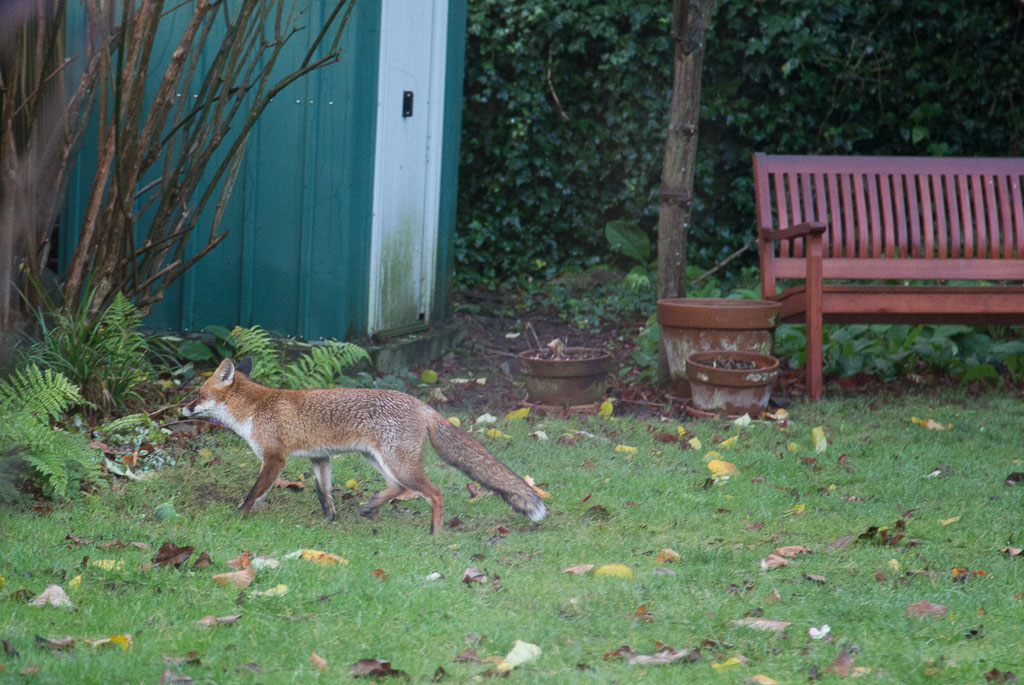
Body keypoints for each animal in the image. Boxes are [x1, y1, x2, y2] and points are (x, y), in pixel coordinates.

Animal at [181, 358, 548, 534]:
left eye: (198, 394)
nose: (182, 409)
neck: (255, 409)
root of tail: (422, 404)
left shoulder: (274, 459)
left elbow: (253, 492)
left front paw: (237, 515)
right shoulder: (320, 458)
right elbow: (323, 493)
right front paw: (330, 520)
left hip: (396, 463)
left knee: (433, 492)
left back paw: (434, 532)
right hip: (377, 459)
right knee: (398, 488)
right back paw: (370, 508)